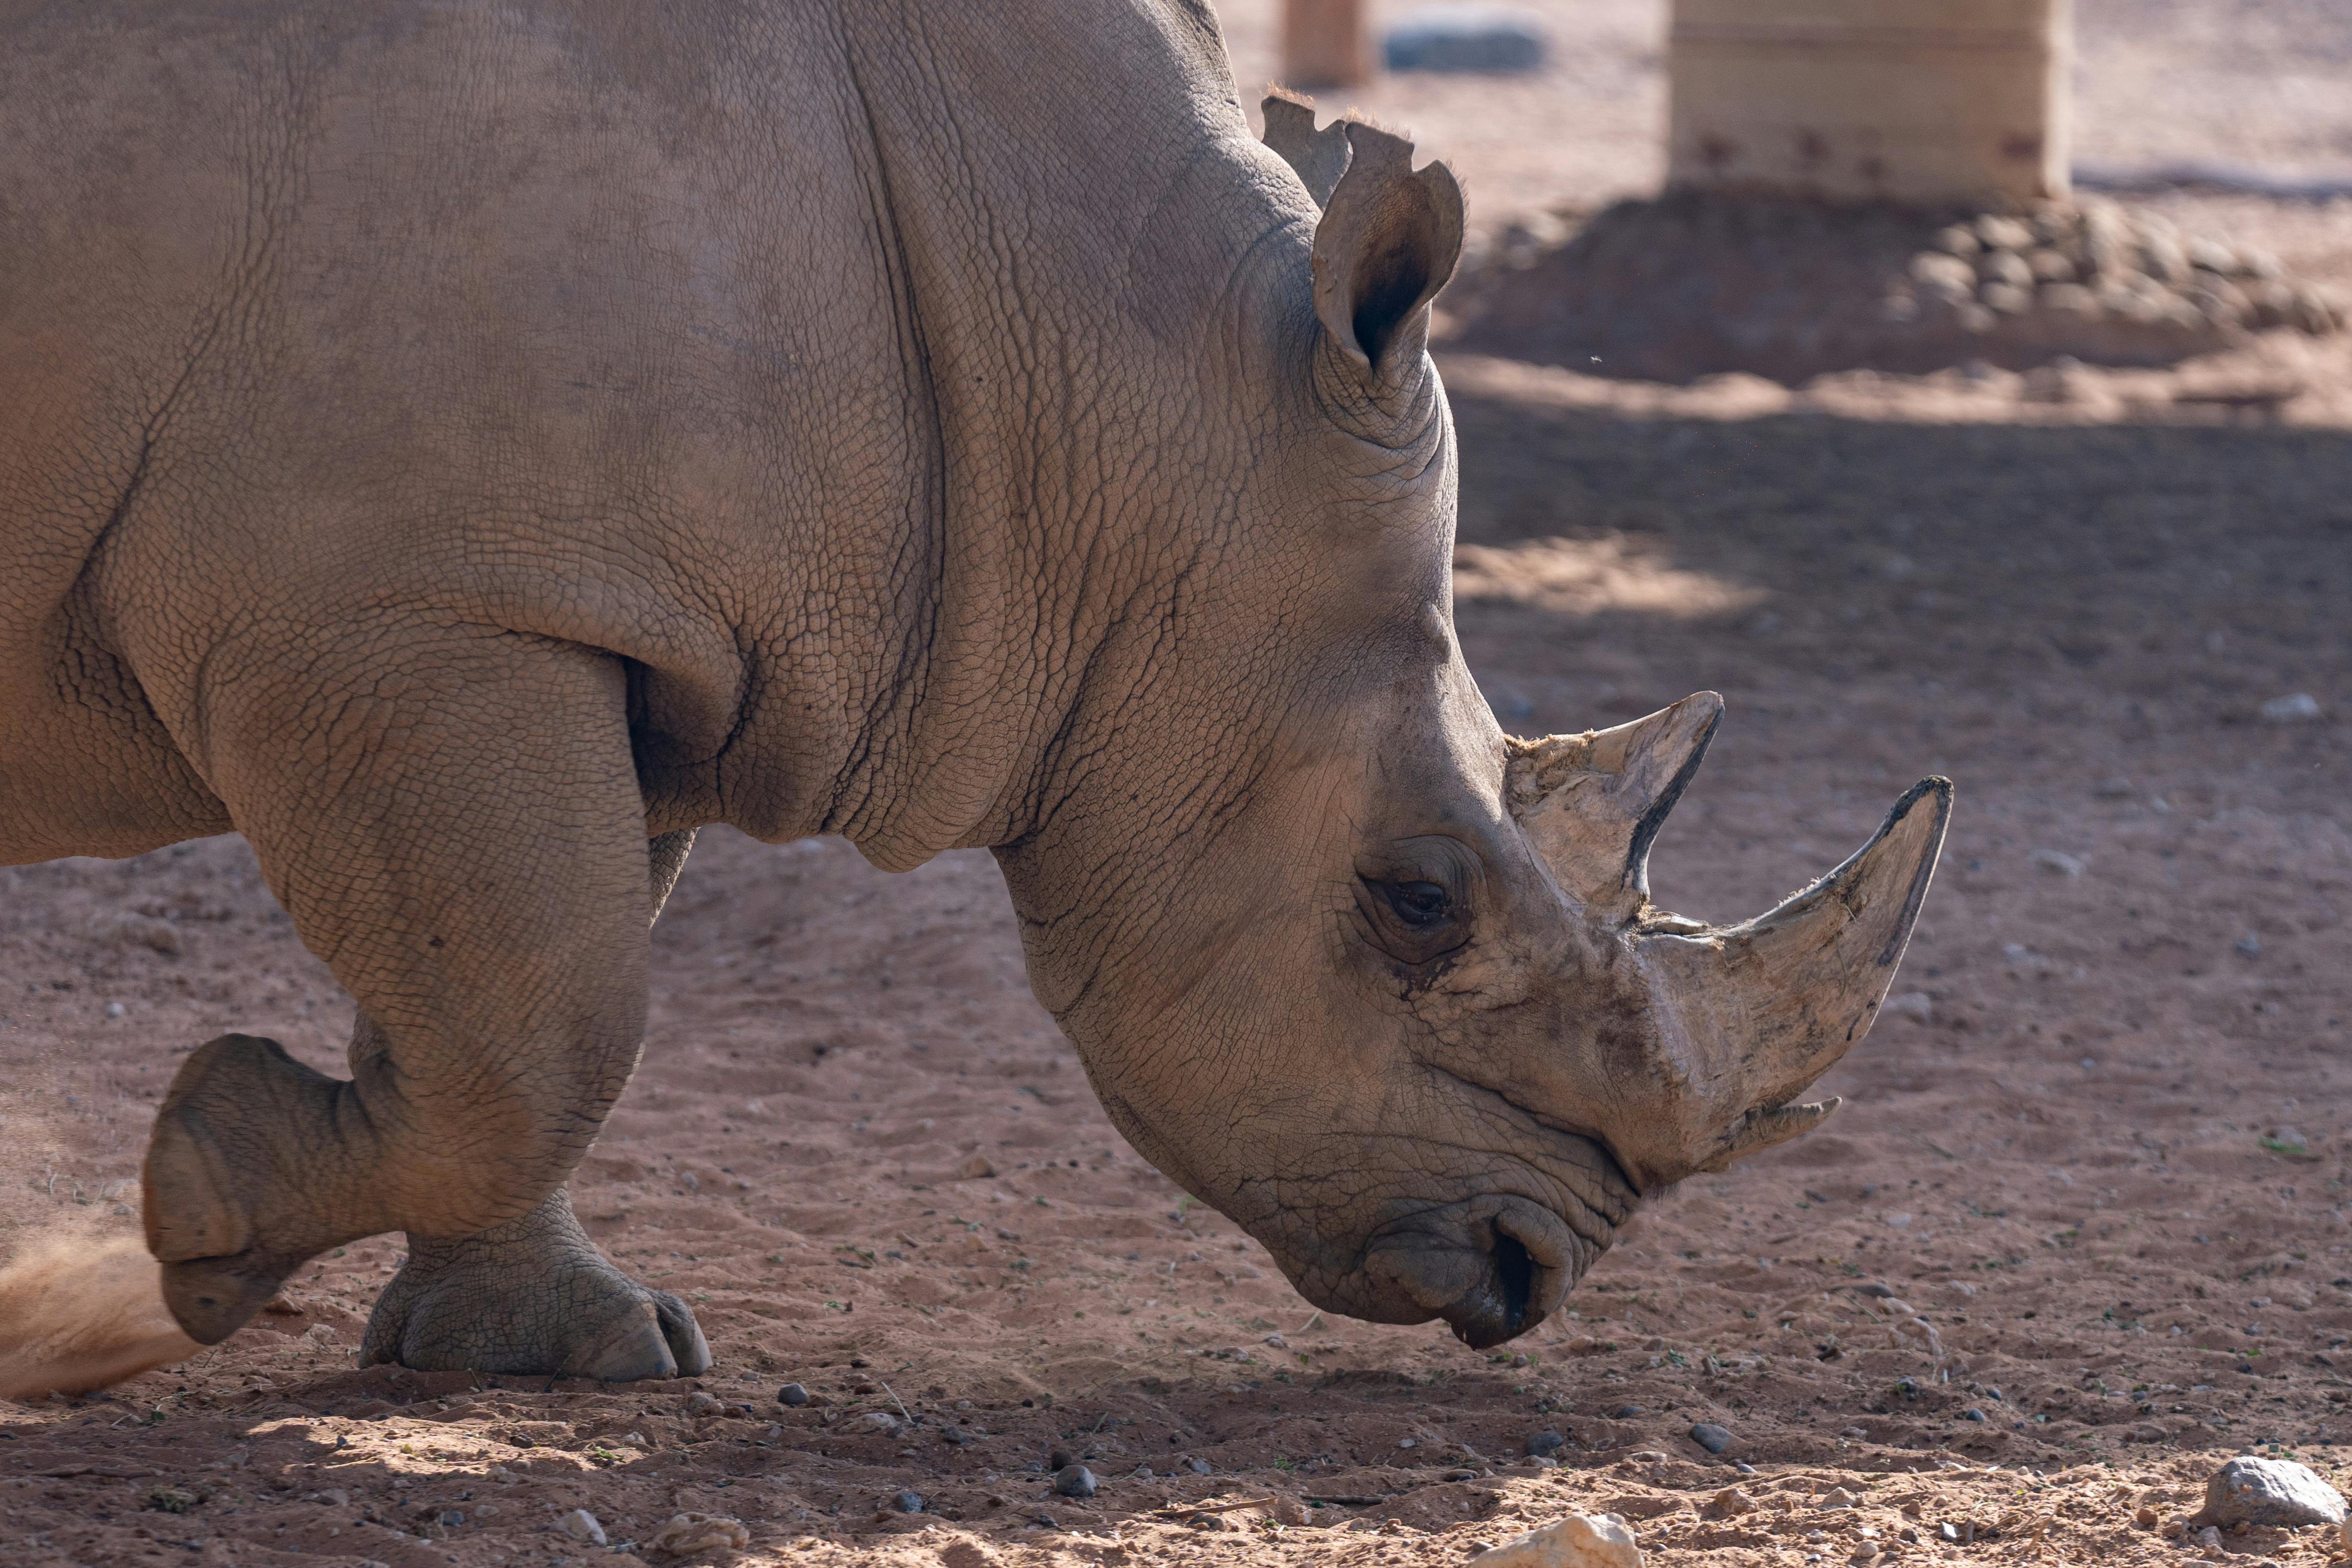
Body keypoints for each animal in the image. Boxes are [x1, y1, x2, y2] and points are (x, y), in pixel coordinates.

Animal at [0, 0, 1948, 1380]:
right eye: (1414, 902)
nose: (1529, 1270)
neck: (1095, 356)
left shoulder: (594, 617)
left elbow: (527, 1002)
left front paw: (551, 1355)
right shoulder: (404, 607)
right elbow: (552, 1023)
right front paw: (200, 1203)